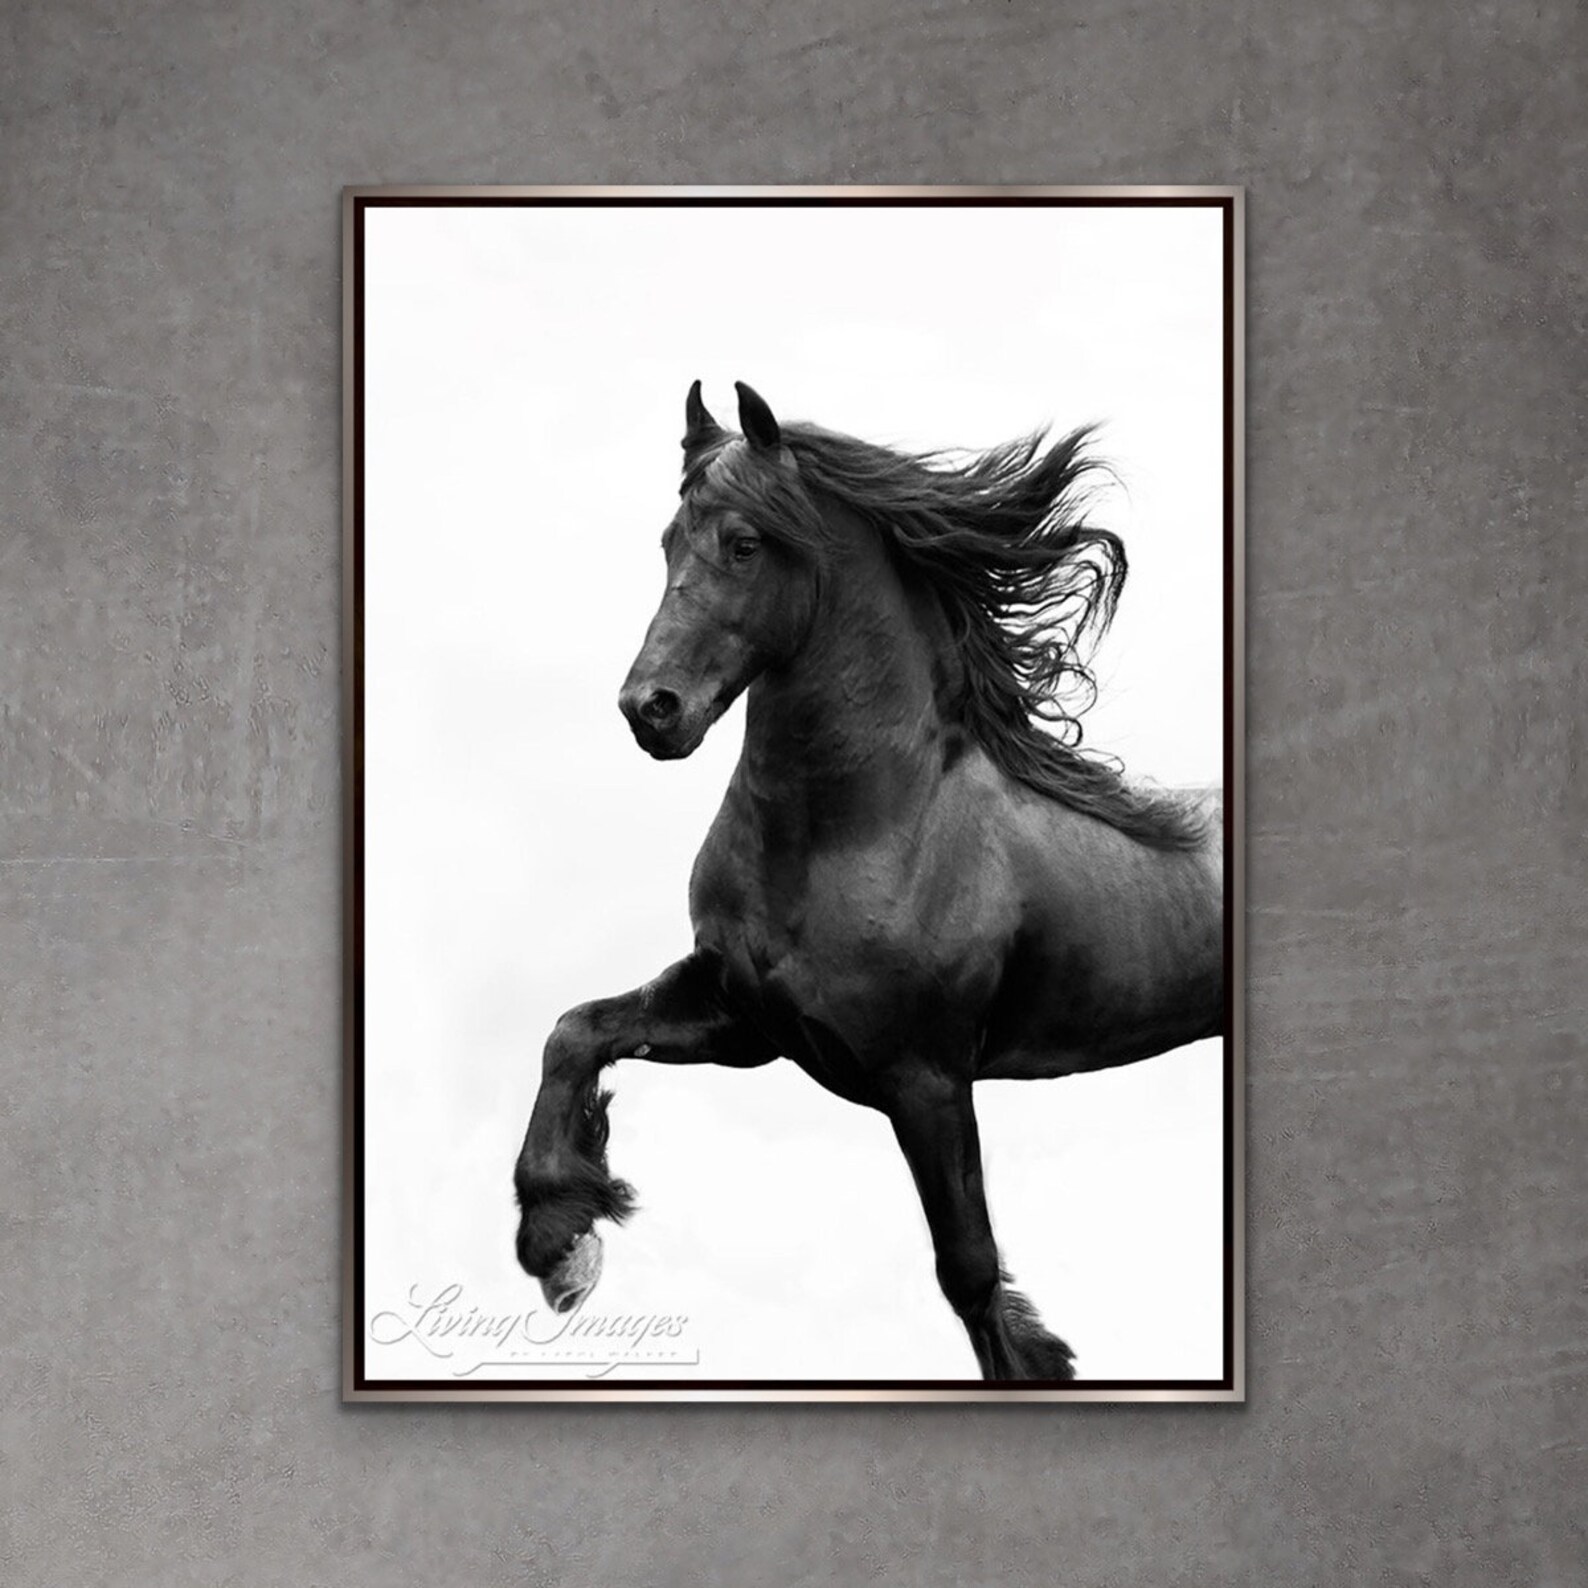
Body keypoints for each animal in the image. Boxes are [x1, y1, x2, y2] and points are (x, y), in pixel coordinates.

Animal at [513, 381, 1224, 1381]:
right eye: (667, 542)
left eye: (744, 543)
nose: (650, 710)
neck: (862, 830)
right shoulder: (747, 1019)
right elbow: (576, 1031)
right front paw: (560, 1242)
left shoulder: (925, 1078)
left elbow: (969, 1276)